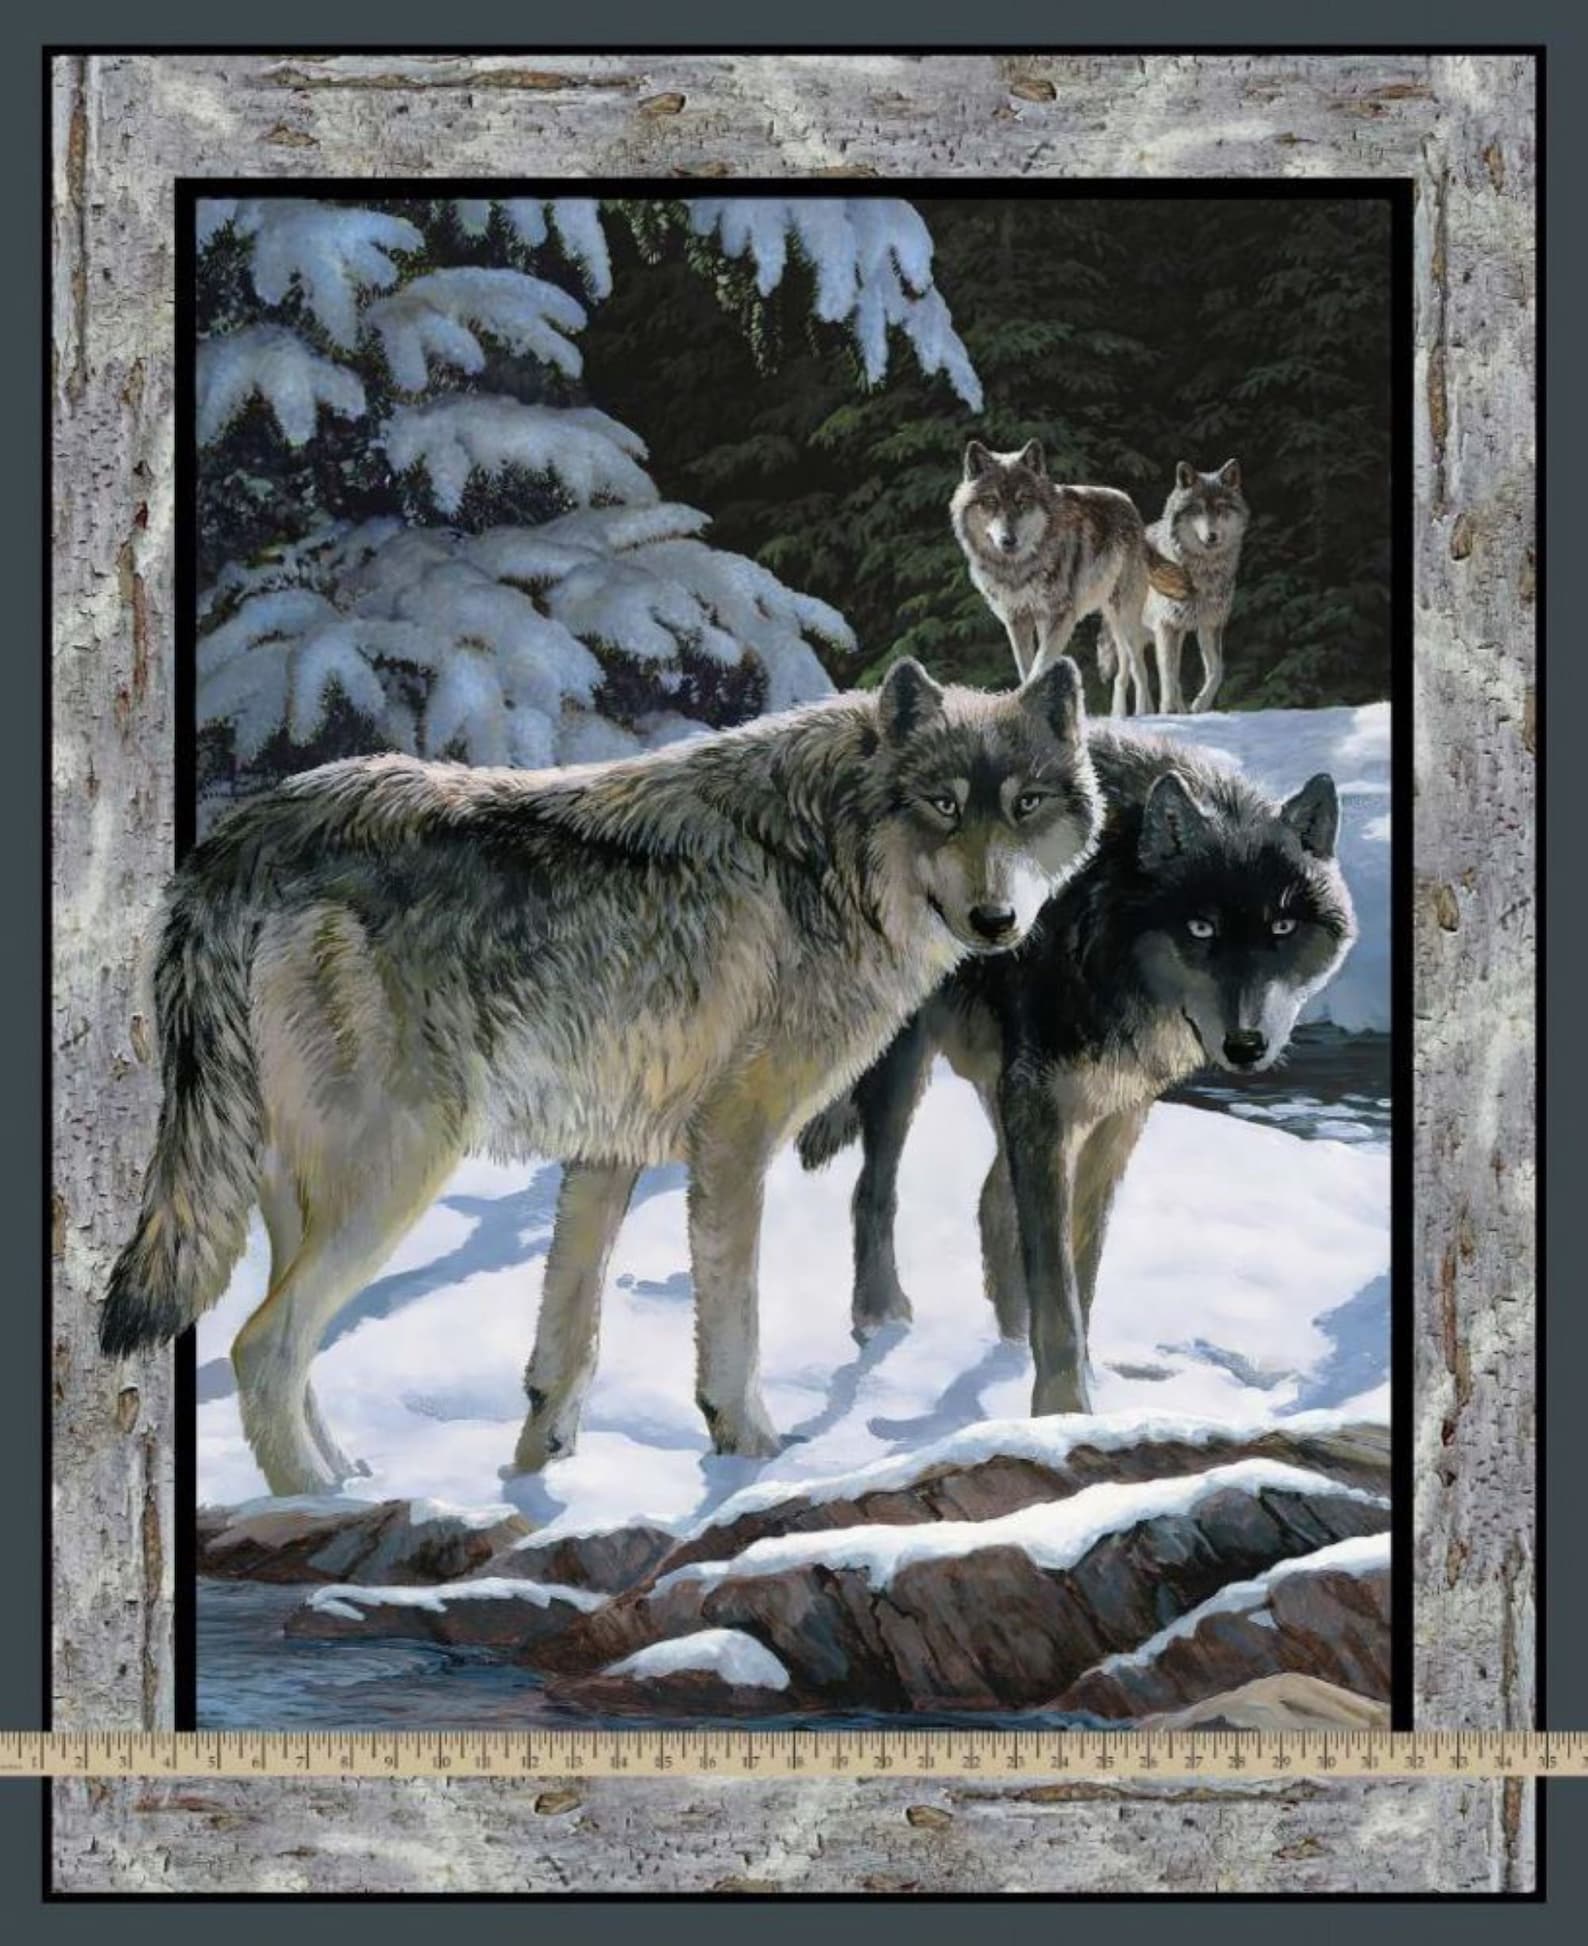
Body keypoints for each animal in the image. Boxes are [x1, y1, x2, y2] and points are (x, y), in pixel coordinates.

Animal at [99, 658, 1102, 1496]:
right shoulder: (732, 1141)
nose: (996, 919)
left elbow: (566, 1344)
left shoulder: (606, 1154)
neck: (829, 854)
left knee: (287, 1342)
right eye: (942, 803)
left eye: (1025, 804)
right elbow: (732, 1329)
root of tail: (245, 836)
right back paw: (316, 1505)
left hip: (299, 1195)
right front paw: (752, 1457)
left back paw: (346, 1477)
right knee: (263, 1345)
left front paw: (538, 1471)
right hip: (394, 1174)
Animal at [798, 728, 1355, 1418]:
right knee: (875, 1190)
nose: (1247, 1044)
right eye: (1200, 928)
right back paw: (880, 1322)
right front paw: (1061, 1411)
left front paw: (1080, 1397)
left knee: (990, 1201)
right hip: (910, 1068)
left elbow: (1080, 1273)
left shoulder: (1117, 1112)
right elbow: (1057, 1286)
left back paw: (1009, 1342)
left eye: (1281, 927)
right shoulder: (1045, 1102)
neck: (1100, 930)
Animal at [950, 440, 1191, 718]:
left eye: (1023, 501)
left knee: (1138, 669)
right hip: (1110, 619)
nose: (1008, 540)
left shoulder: (1060, 616)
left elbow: (1039, 667)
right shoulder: (1017, 620)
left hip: (1126, 618)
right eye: (991, 501)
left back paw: (1144, 713)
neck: (1020, 567)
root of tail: (1129, 505)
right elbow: (1027, 669)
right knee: (1124, 672)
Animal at [1142, 459, 1250, 714]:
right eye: (1198, 510)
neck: (1204, 574)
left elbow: (1217, 671)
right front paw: (1168, 712)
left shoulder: (1210, 625)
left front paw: (1199, 704)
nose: (1212, 536)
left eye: (1220, 509)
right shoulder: (1167, 625)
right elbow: (1168, 677)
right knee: (1136, 675)